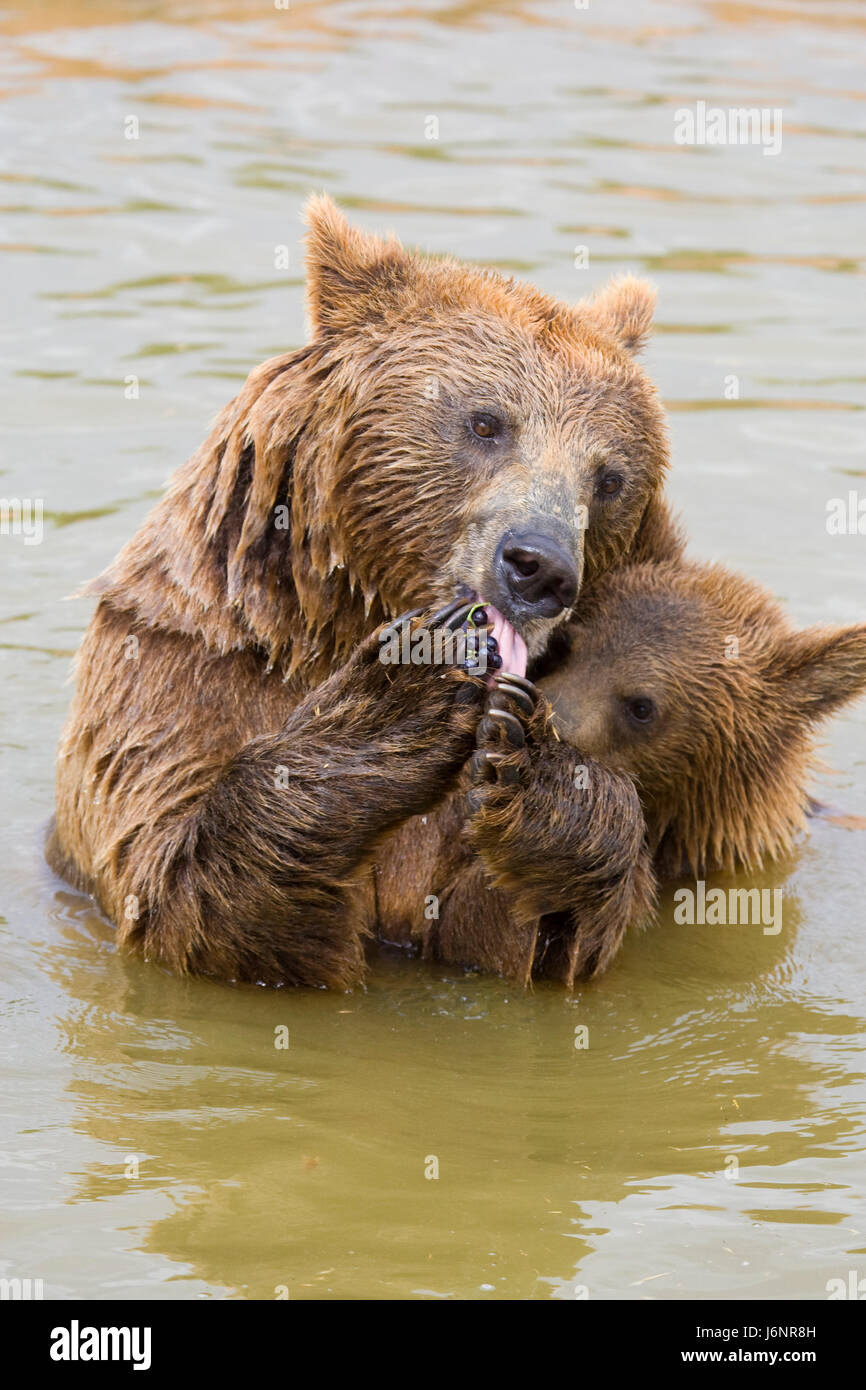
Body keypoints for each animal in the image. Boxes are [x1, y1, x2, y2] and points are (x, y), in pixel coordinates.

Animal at [47, 194, 681, 989]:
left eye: (609, 477)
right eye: (485, 422)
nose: (540, 567)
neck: (334, 621)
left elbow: (503, 929)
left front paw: (548, 780)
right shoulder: (174, 673)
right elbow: (177, 889)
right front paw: (404, 692)